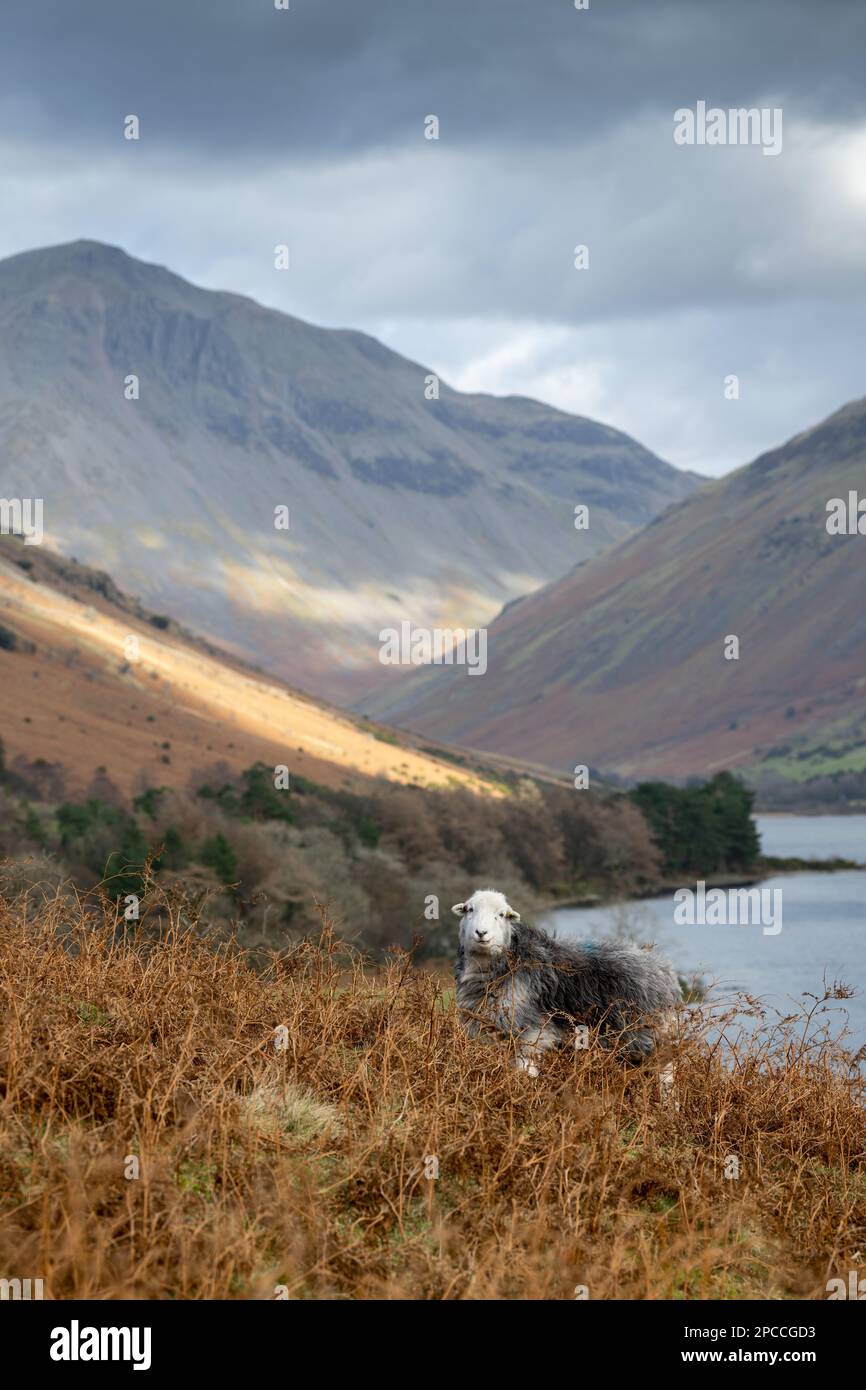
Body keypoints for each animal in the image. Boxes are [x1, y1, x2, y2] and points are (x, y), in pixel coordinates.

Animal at [452, 888, 680, 1078]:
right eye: (469, 909)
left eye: (501, 914)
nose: (481, 933)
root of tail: (665, 970)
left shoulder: (532, 1032)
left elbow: (525, 1071)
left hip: (646, 1034)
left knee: (666, 1072)